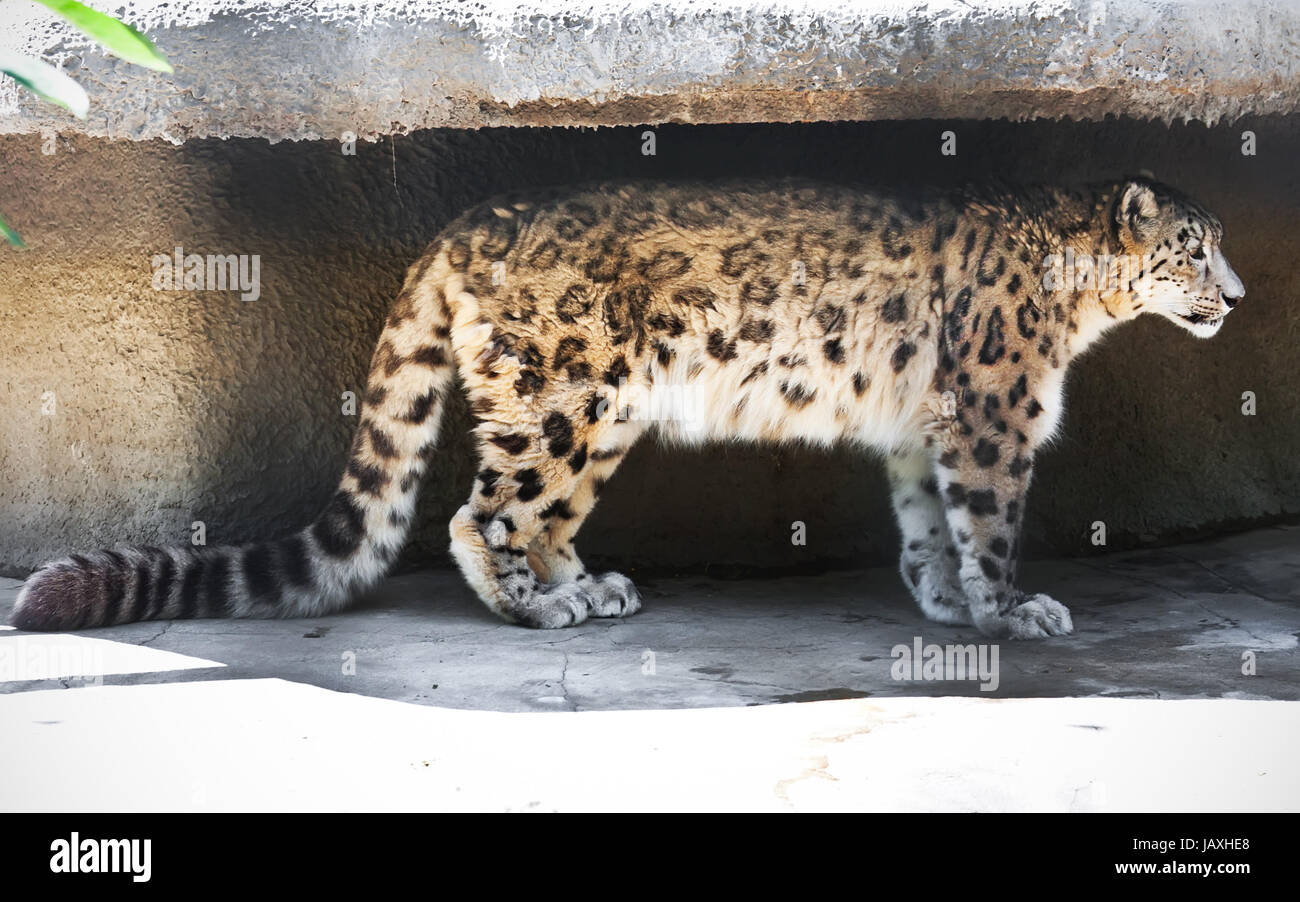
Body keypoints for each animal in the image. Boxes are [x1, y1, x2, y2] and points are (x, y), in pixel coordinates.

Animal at [10, 175, 1244, 639]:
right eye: (1193, 247)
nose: (1236, 294)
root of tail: (469, 222)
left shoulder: (922, 425)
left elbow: (928, 522)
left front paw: (946, 602)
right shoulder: (993, 413)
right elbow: (988, 517)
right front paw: (1010, 610)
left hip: (592, 418)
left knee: (538, 513)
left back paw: (586, 586)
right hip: (564, 397)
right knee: (481, 511)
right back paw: (536, 608)